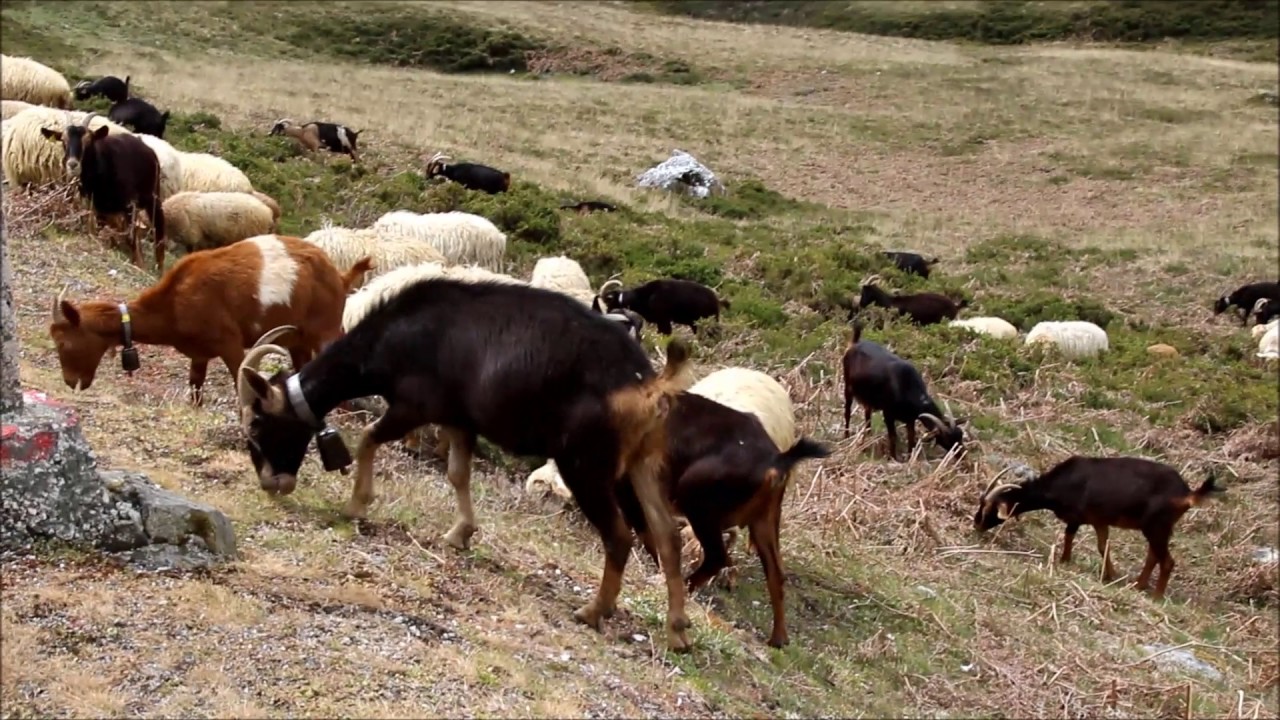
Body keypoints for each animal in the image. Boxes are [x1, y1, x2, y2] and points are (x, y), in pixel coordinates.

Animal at [40, 111, 166, 269]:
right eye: (63, 140)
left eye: (88, 140)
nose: (72, 165)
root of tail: (149, 150)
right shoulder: (97, 205)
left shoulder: (129, 204)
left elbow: (132, 237)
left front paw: (139, 265)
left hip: (152, 196)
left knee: (158, 229)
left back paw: (159, 267)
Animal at [49, 234, 370, 406]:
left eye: (64, 343)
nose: (70, 381)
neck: (174, 303)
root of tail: (340, 277)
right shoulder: (199, 354)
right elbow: (195, 389)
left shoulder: (230, 343)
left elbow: (241, 381)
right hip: (297, 341)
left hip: (326, 330)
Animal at [235, 279, 701, 652]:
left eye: (257, 422)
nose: (272, 483)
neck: (394, 337)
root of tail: (647, 383)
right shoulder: (459, 419)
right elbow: (458, 473)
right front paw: (460, 533)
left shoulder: (414, 405)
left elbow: (368, 438)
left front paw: (356, 505)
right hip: (644, 462)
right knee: (667, 536)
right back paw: (676, 630)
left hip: (585, 463)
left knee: (619, 535)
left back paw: (593, 611)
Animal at [842, 320, 966, 461]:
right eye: (946, 438)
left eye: (960, 435)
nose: (962, 456)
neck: (908, 387)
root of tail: (855, 344)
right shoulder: (888, 413)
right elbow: (893, 436)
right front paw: (893, 458)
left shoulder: (910, 419)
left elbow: (911, 438)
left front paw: (910, 457)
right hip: (848, 387)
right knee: (847, 412)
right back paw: (846, 437)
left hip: (868, 397)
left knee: (867, 415)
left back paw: (868, 438)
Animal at [974, 456, 1224, 600]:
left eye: (988, 507)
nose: (976, 525)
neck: (1060, 483)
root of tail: (1186, 493)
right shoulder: (1099, 521)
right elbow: (1103, 546)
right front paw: (1110, 575)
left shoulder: (1078, 517)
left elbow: (1071, 536)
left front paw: (1065, 561)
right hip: (1157, 528)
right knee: (1154, 555)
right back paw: (1138, 585)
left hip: (1156, 525)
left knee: (1167, 561)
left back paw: (1156, 597)